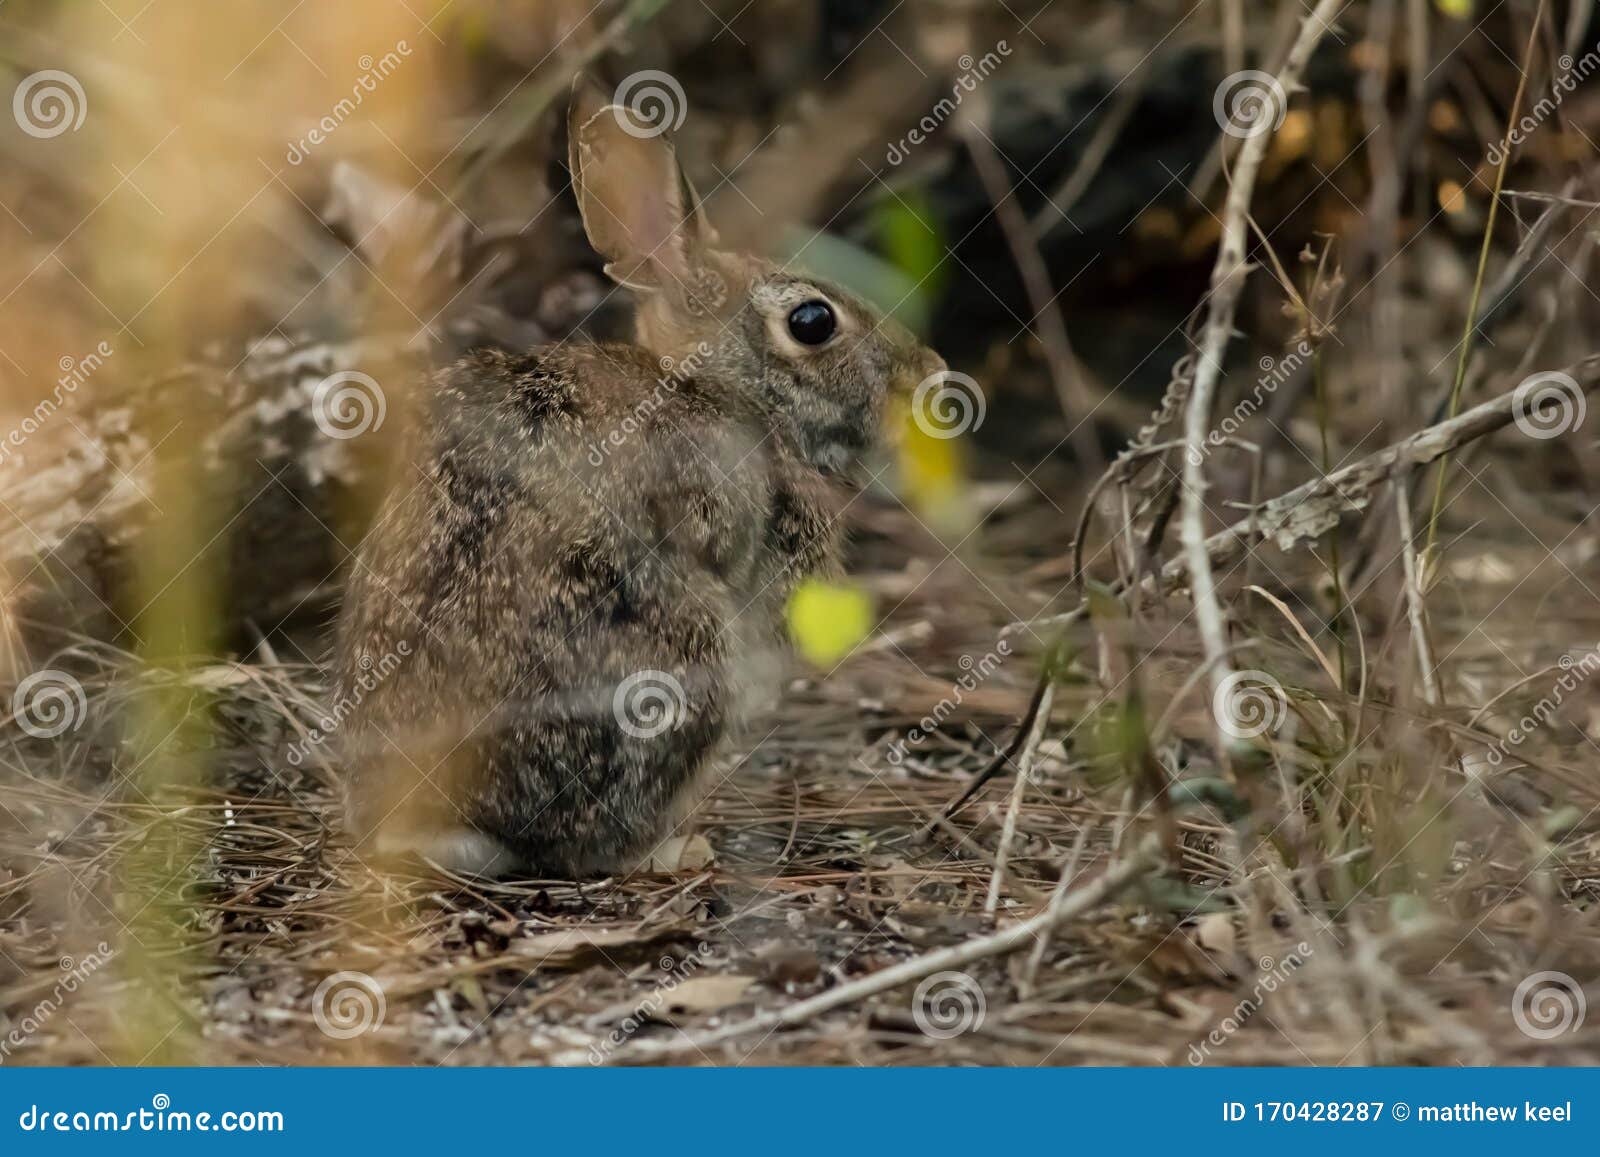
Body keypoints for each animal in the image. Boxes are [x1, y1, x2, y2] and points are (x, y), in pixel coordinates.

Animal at [331, 78, 947, 878]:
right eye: (813, 322)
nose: (927, 369)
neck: (714, 386)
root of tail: (437, 816)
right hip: (681, 661)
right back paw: (676, 848)